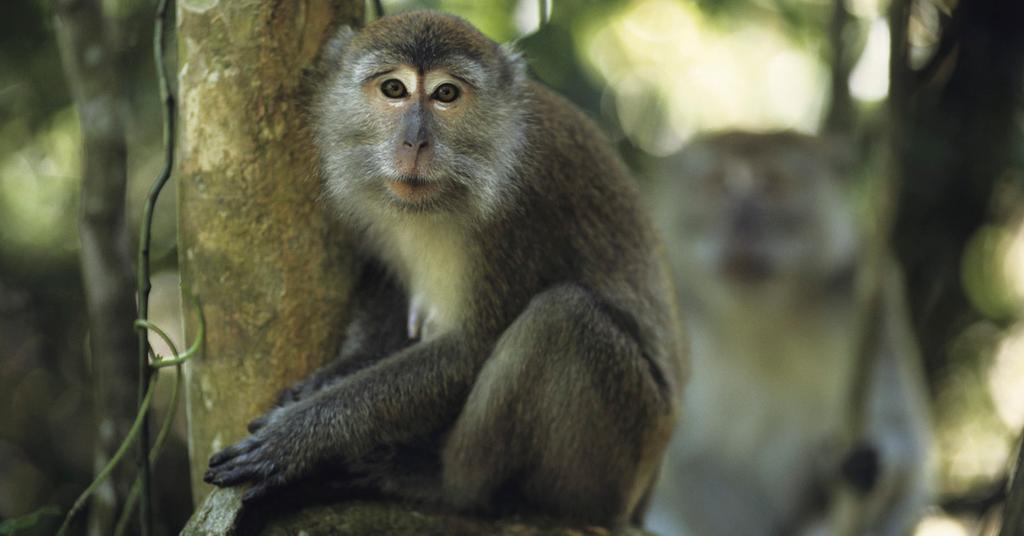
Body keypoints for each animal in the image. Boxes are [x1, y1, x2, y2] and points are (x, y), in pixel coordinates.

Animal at [202, 11, 686, 528]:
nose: (415, 140)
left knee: (561, 320)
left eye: (446, 94)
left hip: (614, 466)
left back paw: (440, 484)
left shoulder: (519, 208)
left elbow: (470, 348)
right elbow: (384, 278)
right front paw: (336, 374)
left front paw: (299, 437)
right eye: (394, 89)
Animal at [643, 131, 931, 536]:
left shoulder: (864, 300)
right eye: (718, 185)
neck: (757, 315)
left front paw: (867, 465)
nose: (741, 223)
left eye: (774, 185)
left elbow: (905, 447)